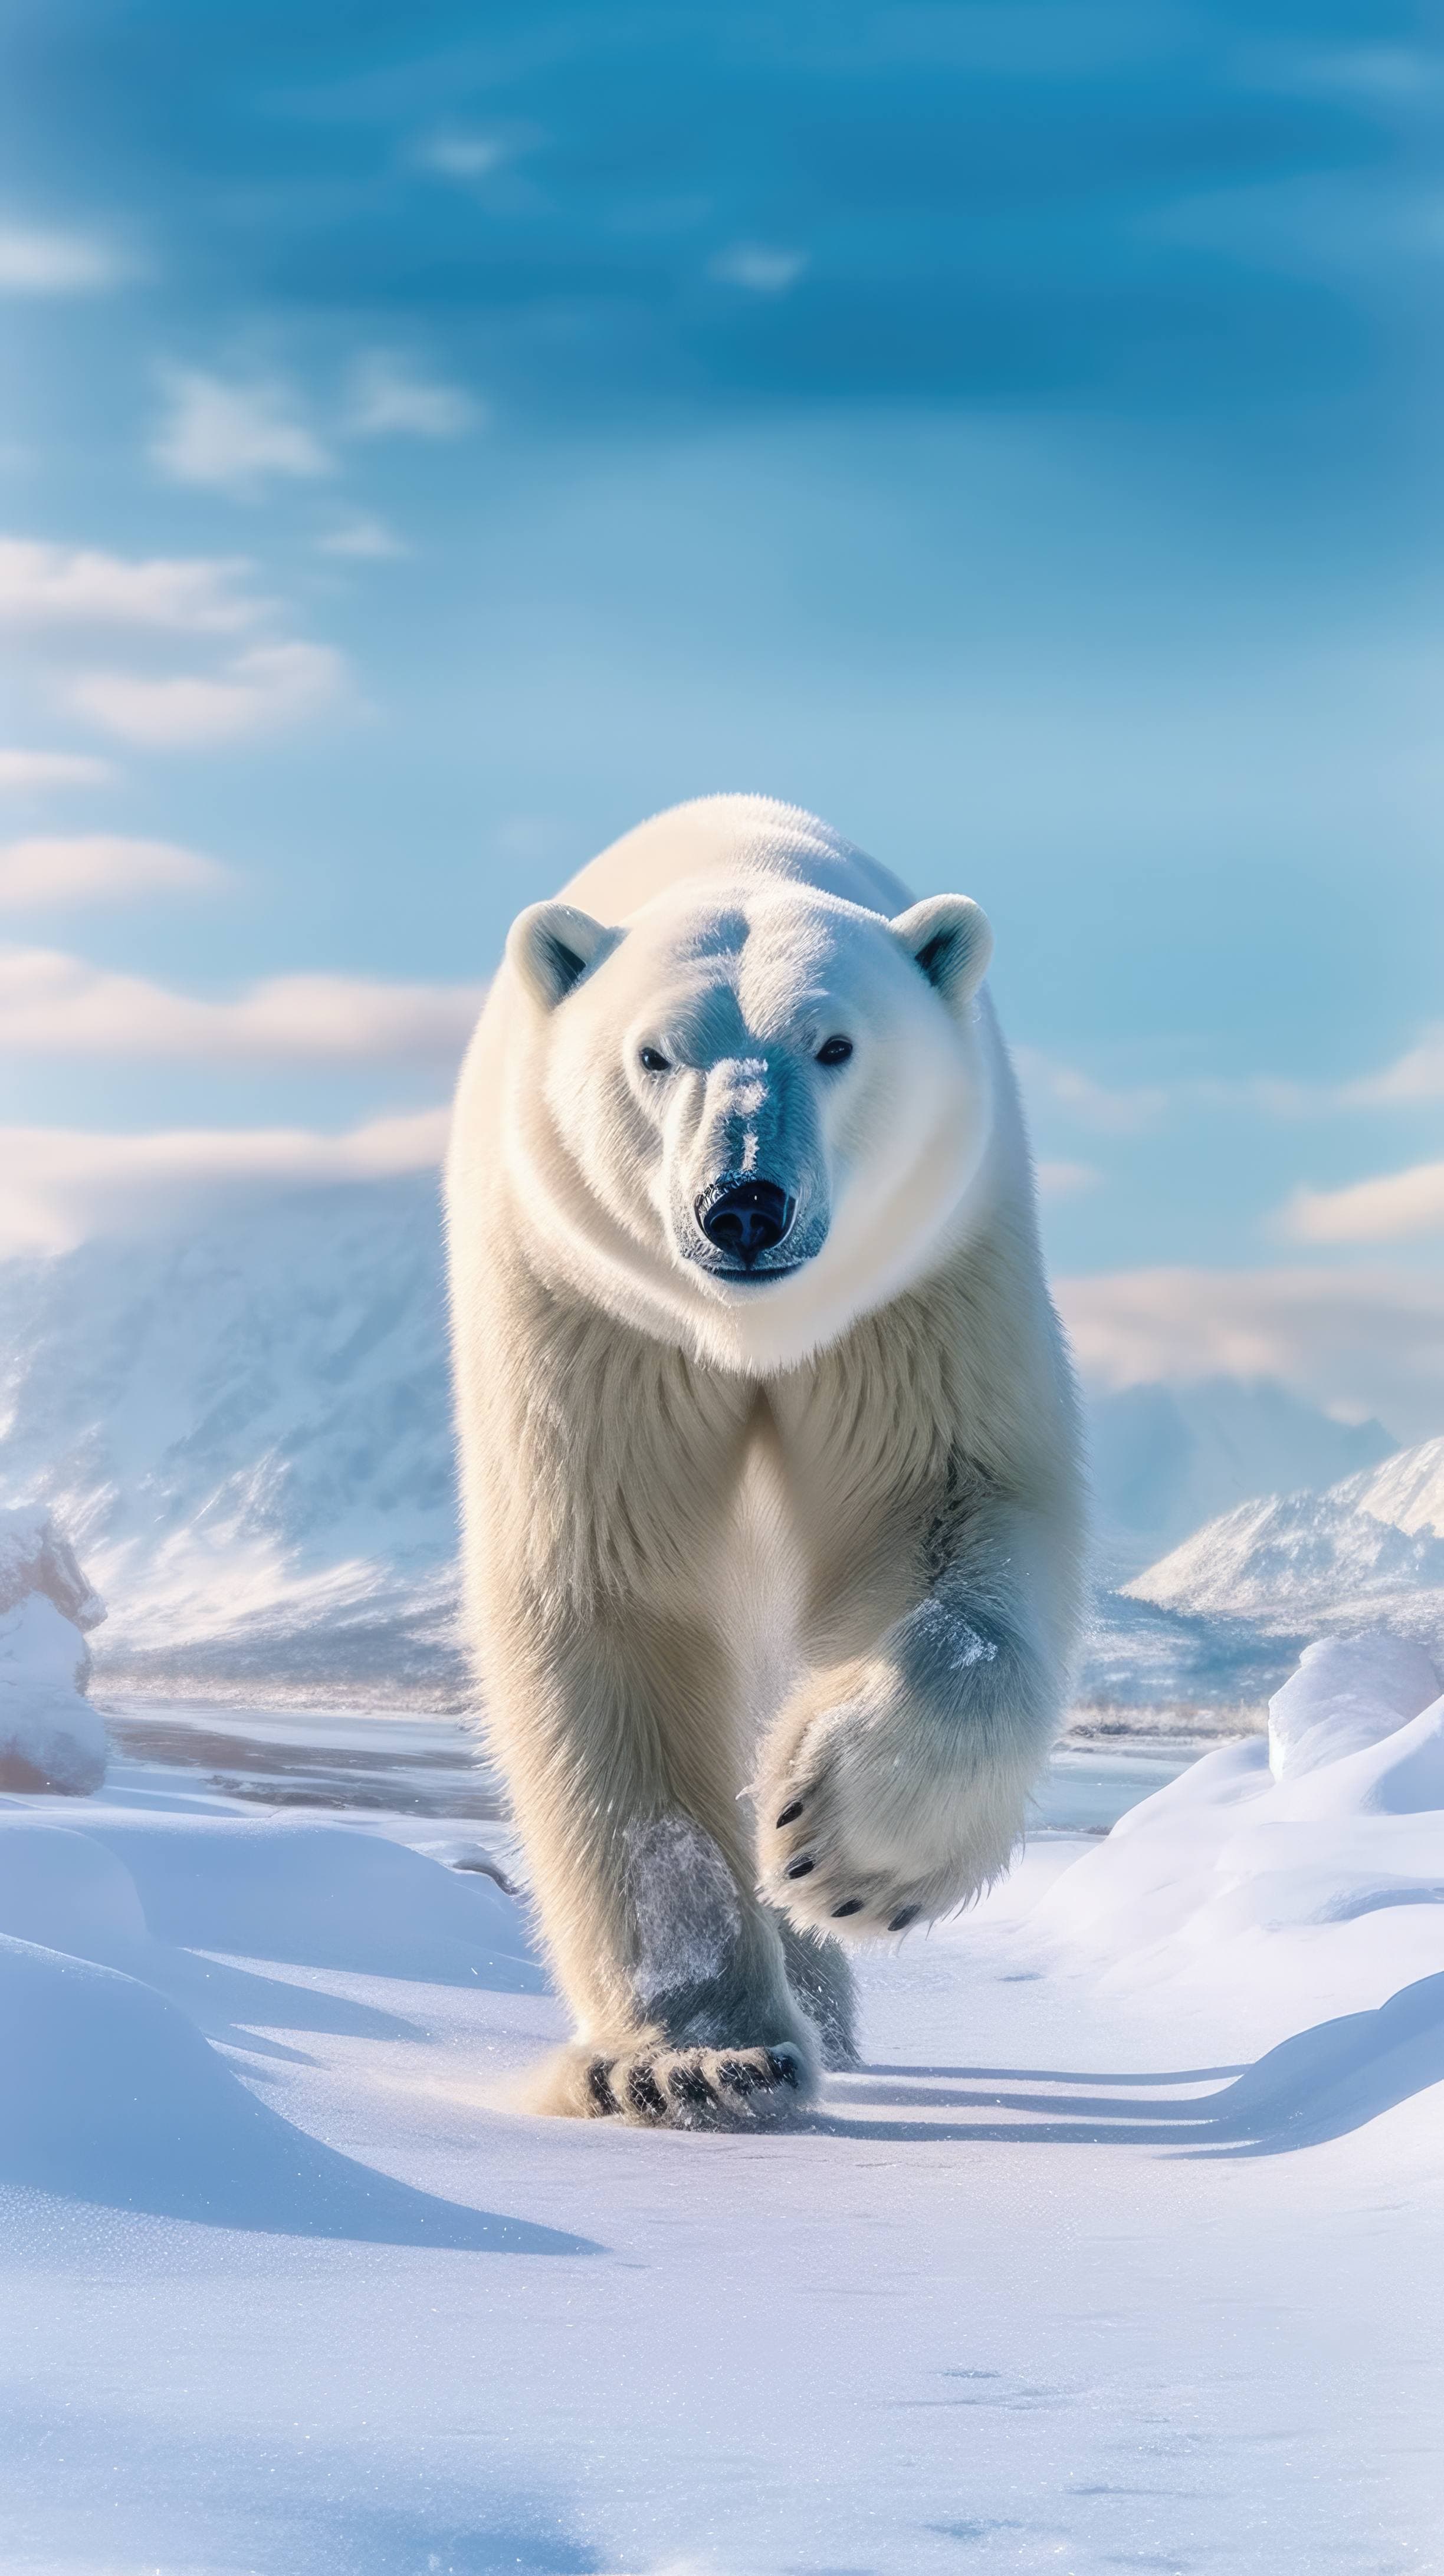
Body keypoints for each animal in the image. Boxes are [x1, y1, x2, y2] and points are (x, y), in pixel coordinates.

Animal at [446, 794, 1085, 2126]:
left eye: (833, 1045)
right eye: (653, 1055)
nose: (744, 1203)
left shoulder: (916, 1286)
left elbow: (950, 1506)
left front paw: (842, 1848)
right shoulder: (593, 1307)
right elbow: (612, 1583)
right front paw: (696, 2061)